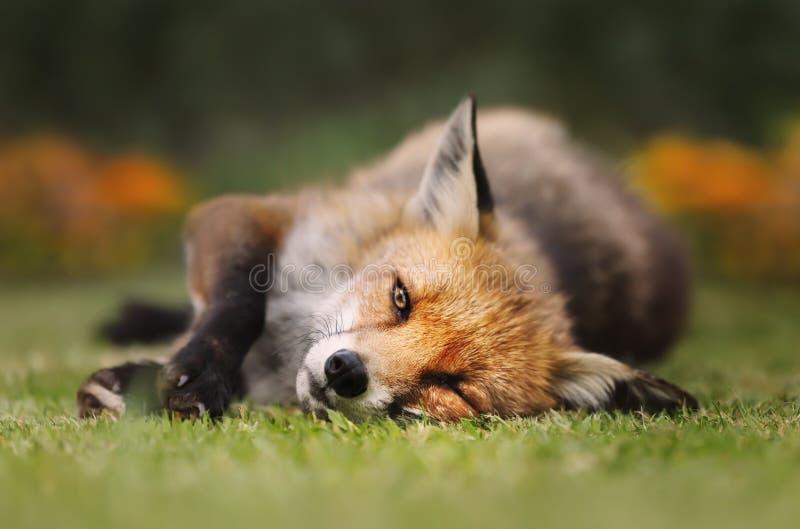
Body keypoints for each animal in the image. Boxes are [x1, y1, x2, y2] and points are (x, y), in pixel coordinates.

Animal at [77, 96, 698, 422]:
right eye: (401, 296)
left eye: (451, 385)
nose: (346, 372)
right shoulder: (243, 213)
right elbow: (238, 302)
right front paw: (196, 372)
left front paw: (142, 380)